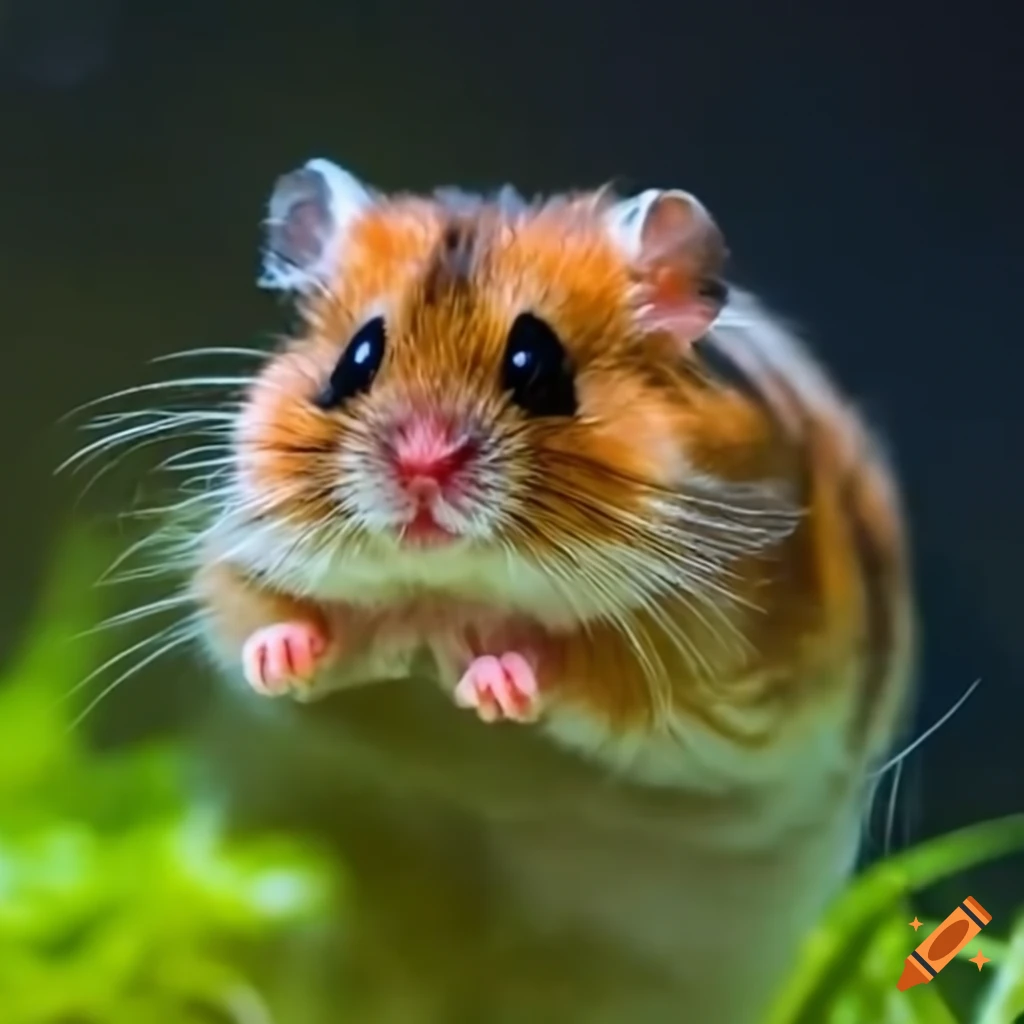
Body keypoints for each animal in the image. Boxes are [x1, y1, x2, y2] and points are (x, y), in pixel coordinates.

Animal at [180, 158, 915, 1022]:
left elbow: (589, 671)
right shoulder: (239, 561)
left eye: (536, 365)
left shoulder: (718, 659)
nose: (422, 467)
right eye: (356, 360)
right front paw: (287, 659)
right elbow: (260, 623)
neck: (442, 585)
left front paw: (487, 675)